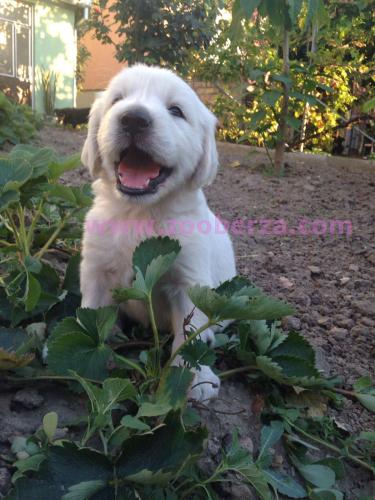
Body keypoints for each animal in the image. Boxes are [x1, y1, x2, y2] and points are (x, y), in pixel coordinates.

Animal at [81, 65, 236, 402]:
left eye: (176, 111)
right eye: (117, 100)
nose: (133, 118)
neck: (139, 212)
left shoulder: (190, 281)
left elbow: (190, 334)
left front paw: (195, 378)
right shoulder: (96, 268)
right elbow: (90, 311)